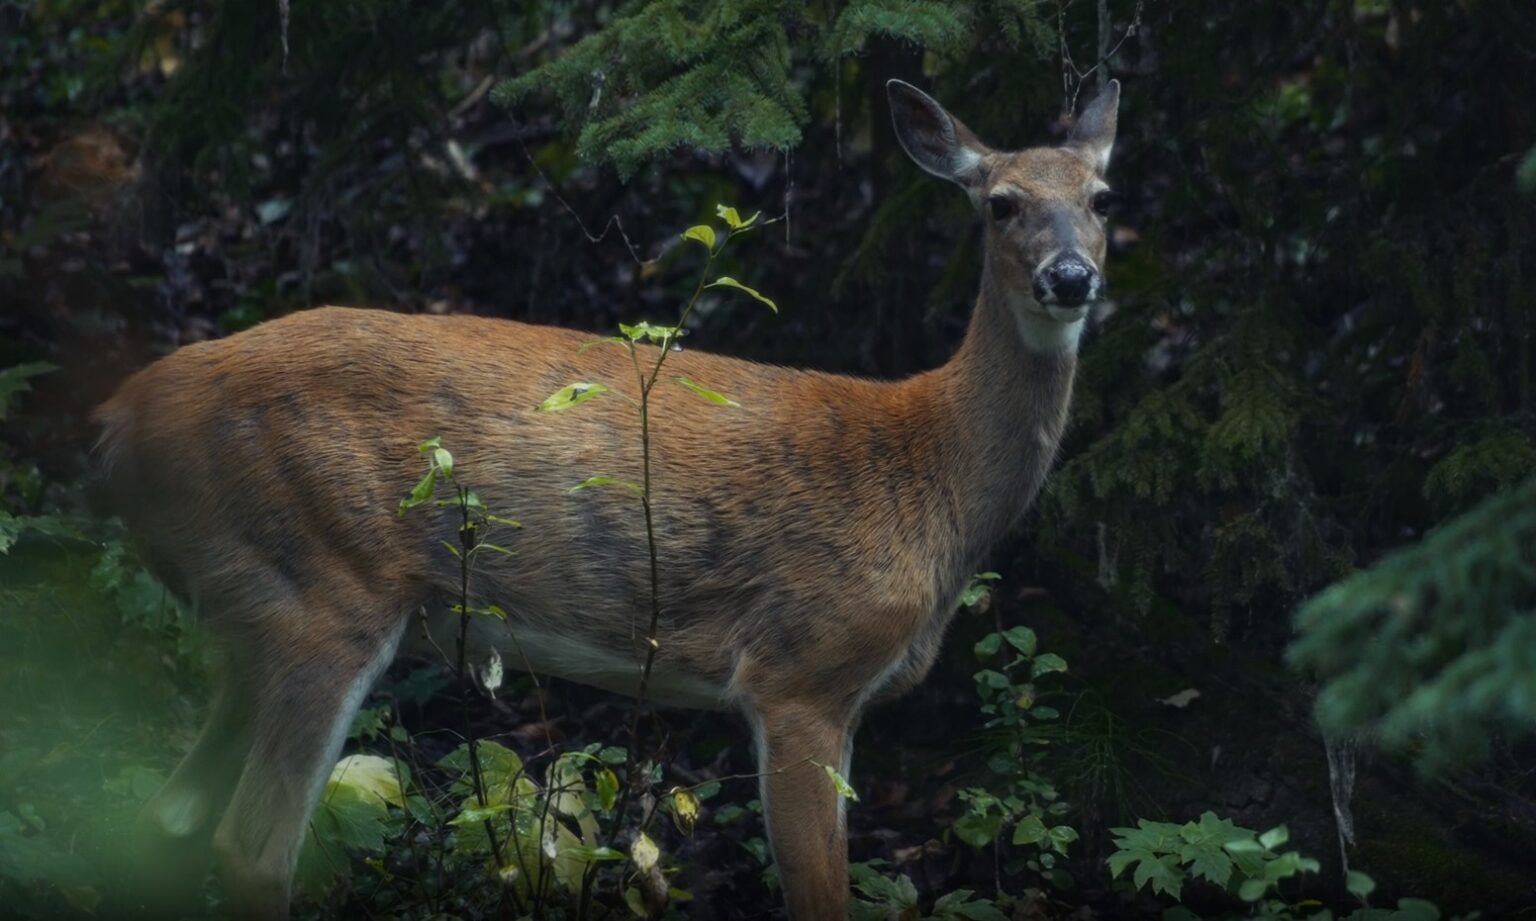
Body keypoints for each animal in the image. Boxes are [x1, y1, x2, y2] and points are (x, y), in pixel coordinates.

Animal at [93, 77, 1119, 920]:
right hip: (321, 588)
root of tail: (122, 416)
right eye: (1000, 203)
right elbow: (819, 890)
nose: (1071, 276)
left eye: (1102, 198)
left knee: (161, 816)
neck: (929, 471)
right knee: (251, 846)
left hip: (252, 614)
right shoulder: (800, 669)